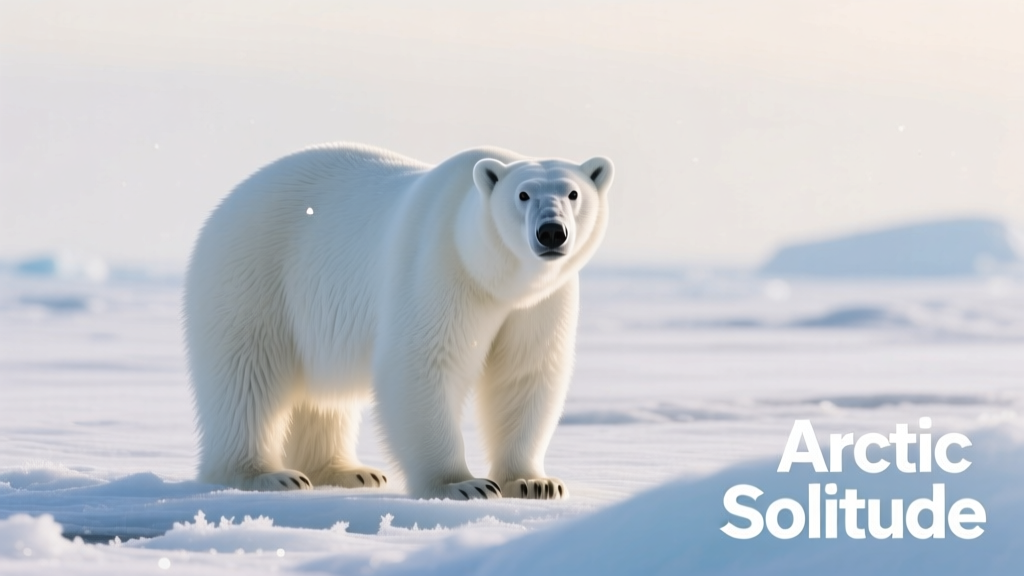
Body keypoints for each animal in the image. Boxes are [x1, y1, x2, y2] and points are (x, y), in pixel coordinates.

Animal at [184, 143, 613, 500]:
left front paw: (534, 482)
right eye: (522, 194)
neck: (496, 276)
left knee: (324, 397)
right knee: (247, 376)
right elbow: (423, 363)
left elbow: (526, 373)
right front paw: (462, 485)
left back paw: (349, 471)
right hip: (254, 277)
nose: (551, 232)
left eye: (573, 193)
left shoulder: (539, 303)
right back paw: (266, 475)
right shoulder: (441, 267)